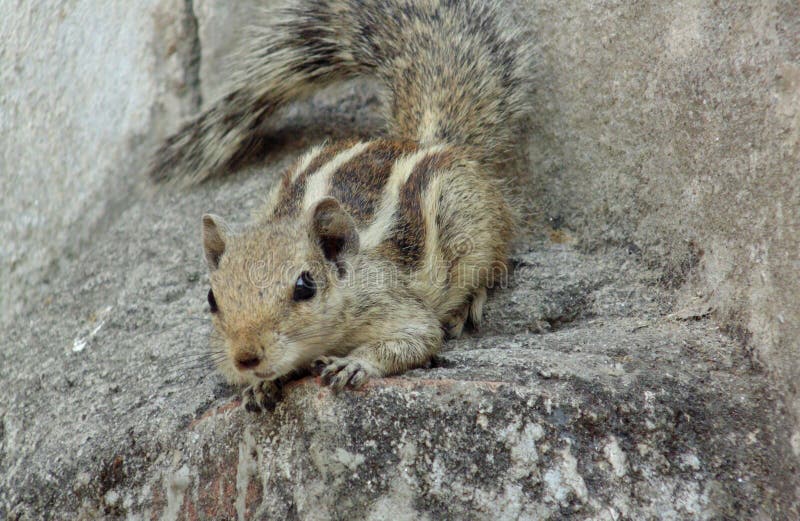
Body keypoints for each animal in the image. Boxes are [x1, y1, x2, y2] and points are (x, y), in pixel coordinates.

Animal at [149, 0, 531, 411]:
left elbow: (418, 339)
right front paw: (257, 387)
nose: (246, 357)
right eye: (211, 299)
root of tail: (425, 141)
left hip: (476, 225)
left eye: (305, 288)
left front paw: (353, 364)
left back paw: (467, 303)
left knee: (494, 258)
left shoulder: (390, 303)